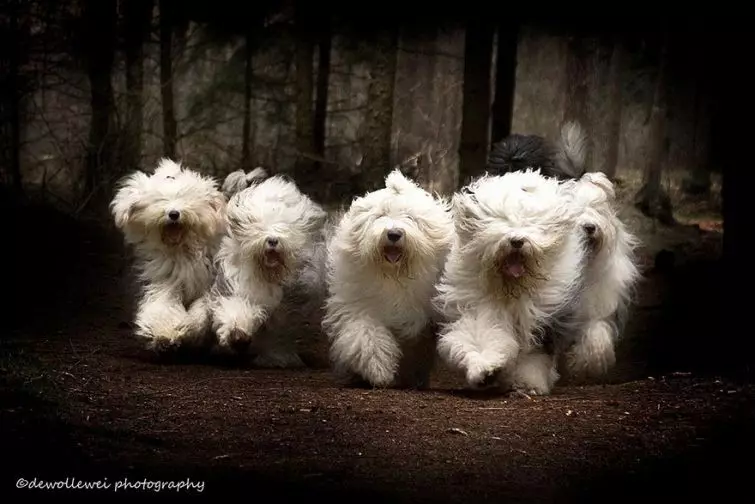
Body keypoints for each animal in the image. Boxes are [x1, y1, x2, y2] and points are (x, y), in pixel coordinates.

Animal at [110, 159, 227, 352]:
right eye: (159, 200)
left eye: (186, 199)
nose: (173, 214)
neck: (181, 252)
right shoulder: (165, 282)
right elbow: (164, 306)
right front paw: (167, 334)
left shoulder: (208, 284)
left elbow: (202, 309)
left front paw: (191, 328)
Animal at [210, 173, 324, 366]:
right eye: (258, 226)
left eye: (285, 227)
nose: (272, 240)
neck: (266, 273)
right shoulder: (237, 286)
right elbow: (235, 307)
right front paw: (237, 334)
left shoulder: (286, 307)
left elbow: (280, 332)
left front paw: (275, 356)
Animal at [324, 171, 454, 388]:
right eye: (380, 215)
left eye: (410, 217)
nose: (393, 233)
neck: (394, 276)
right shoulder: (359, 306)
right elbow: (367, 335)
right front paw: (379, 371)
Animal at [434, 171, 588, 396]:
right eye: (501, 220)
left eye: (530, 222)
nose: (516, 241)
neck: (511, 288)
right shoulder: (479, 306)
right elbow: (480, 333)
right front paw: (485, 368)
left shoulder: (542, 319)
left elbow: (533, 356)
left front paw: (527, 384)